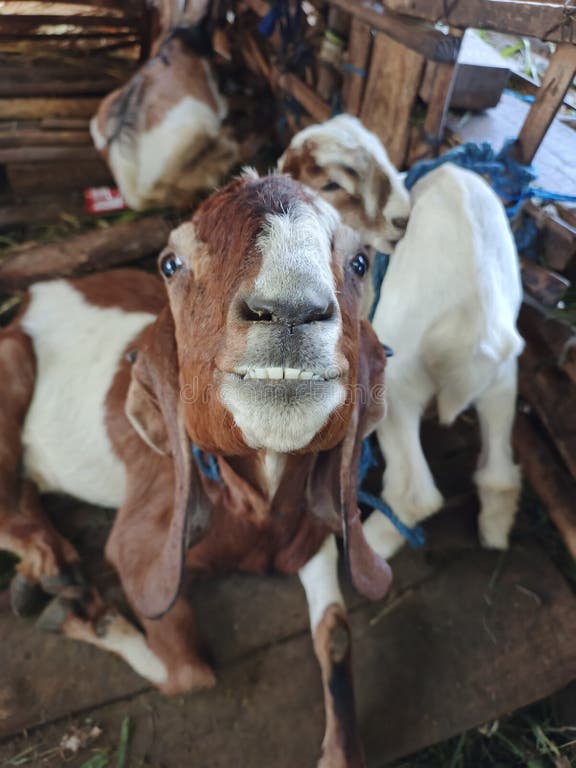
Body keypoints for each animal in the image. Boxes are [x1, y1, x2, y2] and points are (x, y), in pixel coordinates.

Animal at [0, 172, 391, 768]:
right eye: (170, 263)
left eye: (360, 261)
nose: (290, 311)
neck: (256, 514)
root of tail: (29, 303)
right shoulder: (145, 545)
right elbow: (190, 672)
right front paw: (88, 617)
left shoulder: (308, 535)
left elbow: (337, 631)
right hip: (11, 364)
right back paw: (50, 570)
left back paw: (46, 568)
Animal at [279, 114, 524, 559]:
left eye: (330, 183)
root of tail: (472, 330)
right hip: (502, 379)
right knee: (500, 474)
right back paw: (494, 531)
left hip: (397, 385)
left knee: (414, 494)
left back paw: (369, 545)